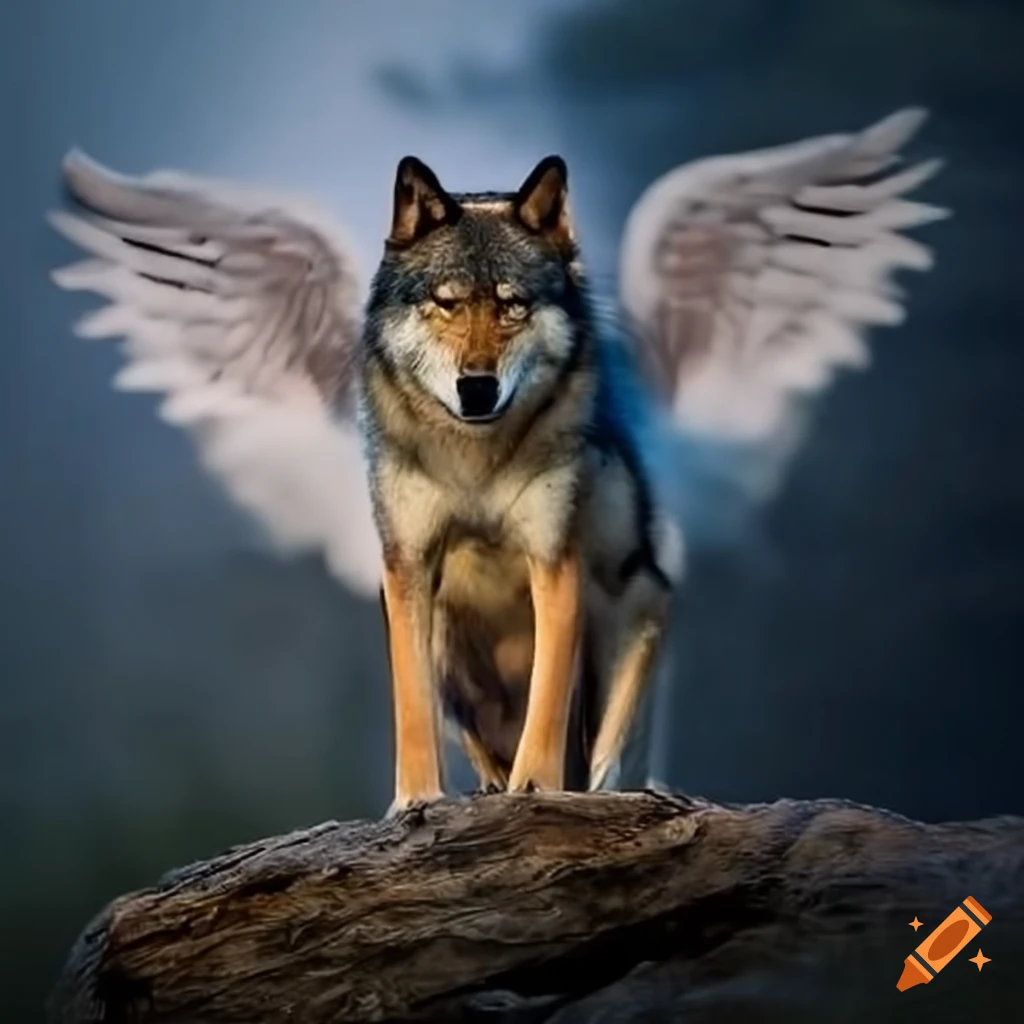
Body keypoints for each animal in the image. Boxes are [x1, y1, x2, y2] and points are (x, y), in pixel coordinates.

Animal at [48, 109, 947, 812]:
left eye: (511, 306)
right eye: (447, 304)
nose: (476, 388)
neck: (474, 457)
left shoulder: (556, 559)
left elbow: (551, 705)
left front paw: (536, 793)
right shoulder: (407, 566)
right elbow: (411, 710)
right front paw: (416, 803)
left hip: (638, 600)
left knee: (610, 748)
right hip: (445, 628)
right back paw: (481, 788)